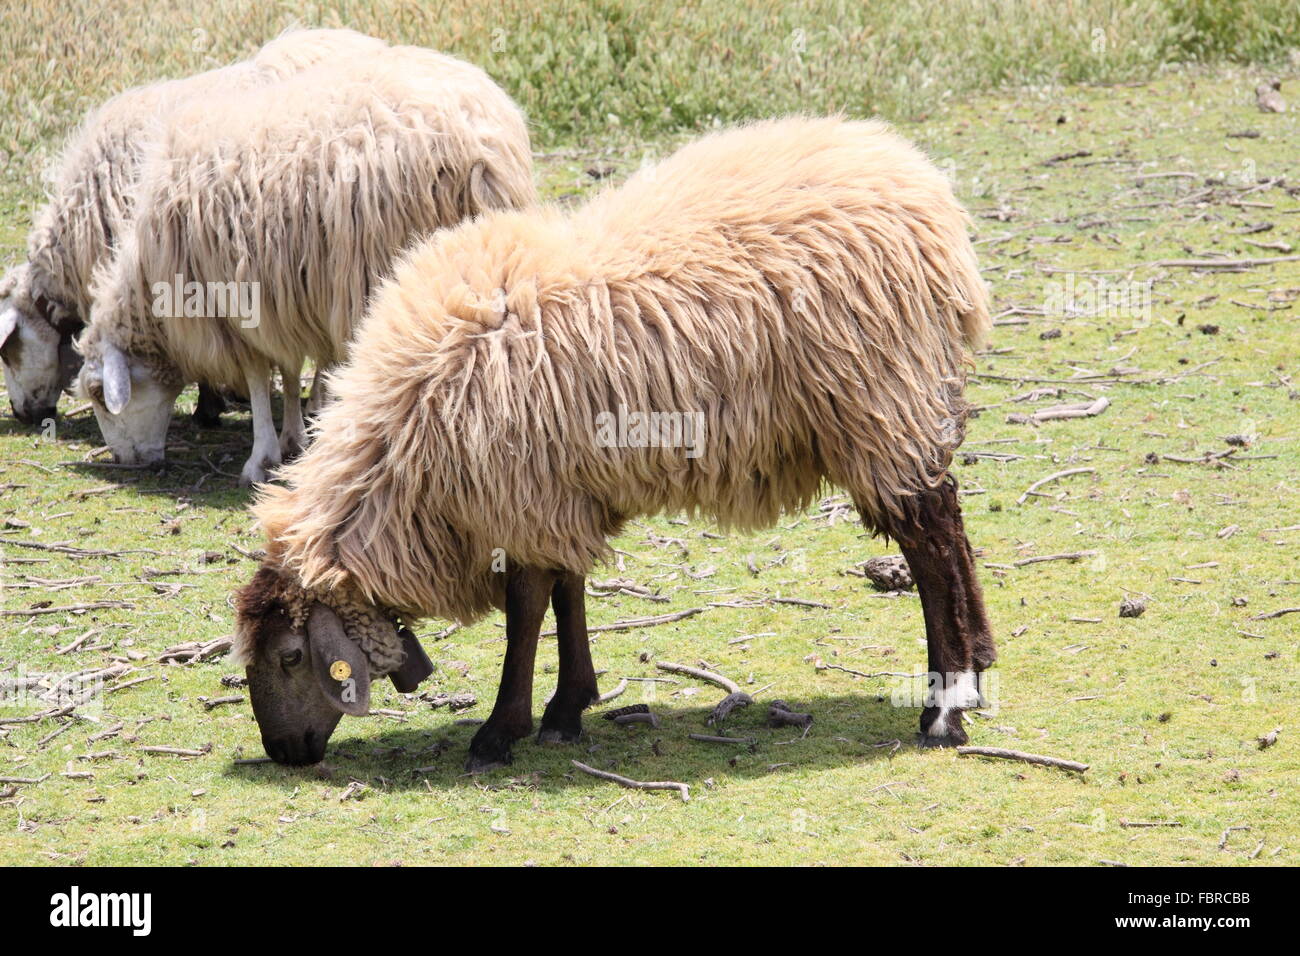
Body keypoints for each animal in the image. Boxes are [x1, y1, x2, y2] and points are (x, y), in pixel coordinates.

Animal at [77, 42, 535, 485]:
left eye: (99, 393)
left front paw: (261, 458)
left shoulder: (236, 304)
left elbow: (259, 379)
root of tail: (478, 138)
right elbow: (291, 366)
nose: (124, 460)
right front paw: (296, 437)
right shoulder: (285, 294)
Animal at [231, 115, 998, 772]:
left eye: (291, 655)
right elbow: (567, 590)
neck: (399, 463)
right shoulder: (556, 491)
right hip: (901, 405)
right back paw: (980, 662)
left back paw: (945, 707)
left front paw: (500, 730)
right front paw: (568, 707)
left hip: (880, 404)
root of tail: (923, 192)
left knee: (931, 544)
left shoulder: (522, 491)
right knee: (950, 523)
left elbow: (525, 609)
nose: (282, 751)